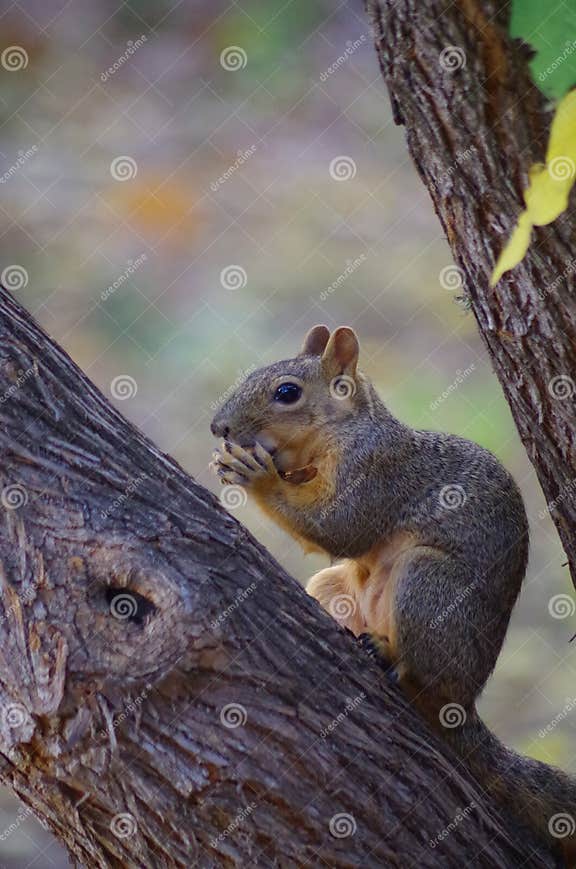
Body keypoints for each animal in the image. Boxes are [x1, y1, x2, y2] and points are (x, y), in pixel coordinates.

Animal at [210, 324, 576, 861]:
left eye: (287, 393)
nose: (219, 428)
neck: (341, 433)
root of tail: (465, 703)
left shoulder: (378, 471)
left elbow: (339, 526)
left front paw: (256, 476)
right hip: (336, 586)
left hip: (429, 587)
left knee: (423, 675)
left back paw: (392, 657)